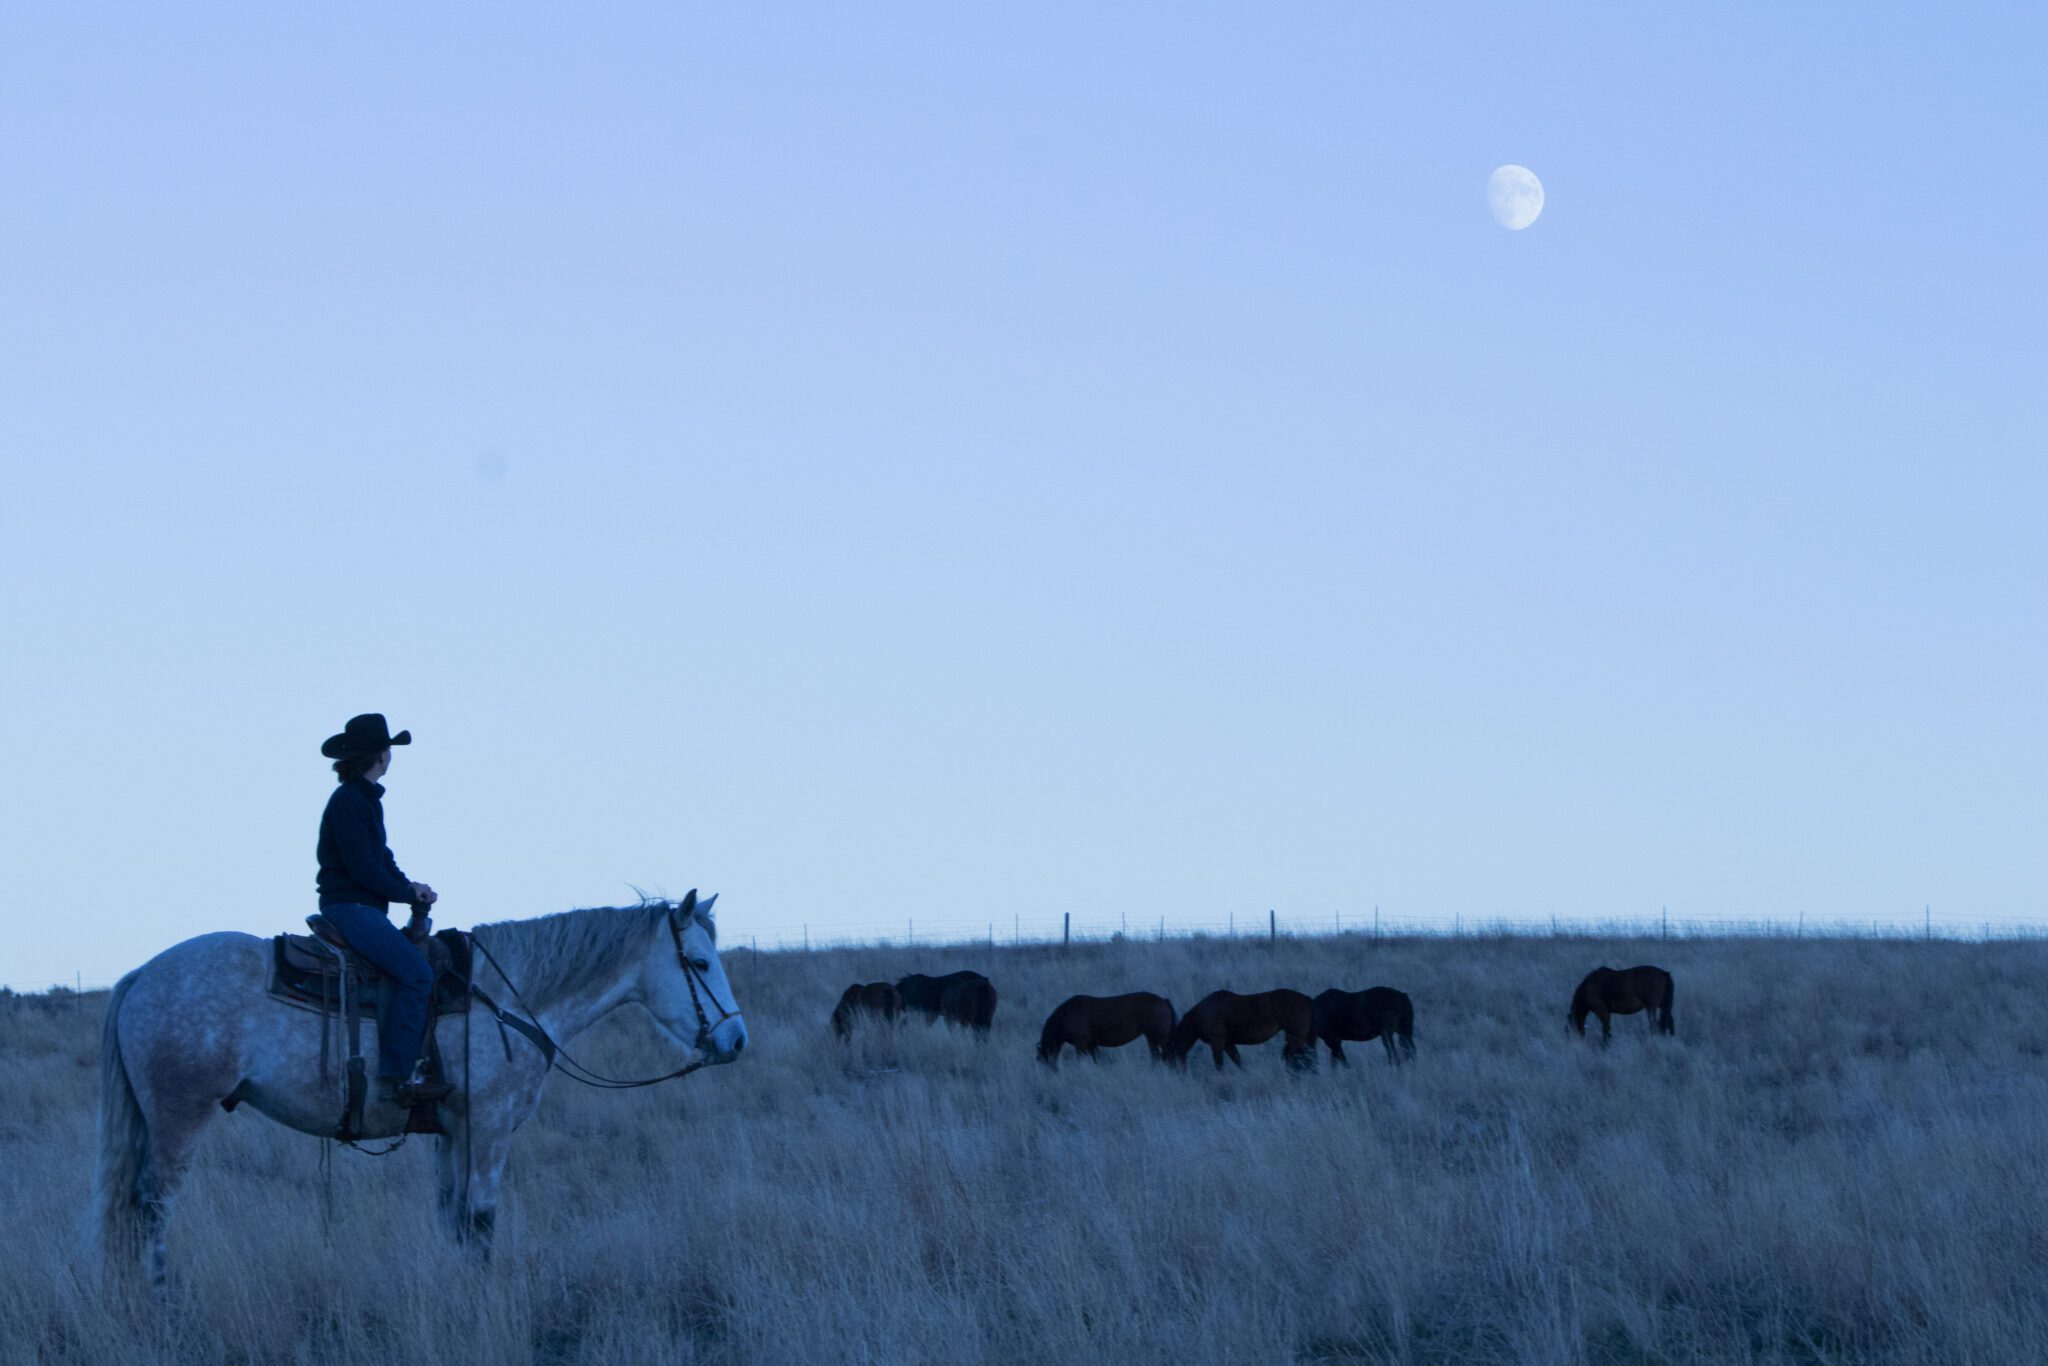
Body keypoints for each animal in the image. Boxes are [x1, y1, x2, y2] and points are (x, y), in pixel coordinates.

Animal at [93, 891, 747, 1291]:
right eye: (699, 962)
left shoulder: (451, 1132)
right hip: (180, 1117)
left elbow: (451, 1219)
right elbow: (480, 1223)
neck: (505, 1001)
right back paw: (163, 1303)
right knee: (151, 1207)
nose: (736, 1040)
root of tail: (141, 976)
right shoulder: (488, 1128)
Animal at [1036, 992, 1175, 1068]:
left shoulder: (1081, 1045)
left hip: (1160, 1037)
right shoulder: (1091, 1045)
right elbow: (1097, 1061)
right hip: (1151, 1037)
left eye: (1044, 1058)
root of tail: (1163, 1000)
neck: (1065, 1015)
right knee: (1155, 1056)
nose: (1052, 1072)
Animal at [1166, 989, 1316, 1071]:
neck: (1202, 1015)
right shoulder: (1228, 1044)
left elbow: (1219, 1065)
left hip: (1297, 1037)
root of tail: (1306, 998)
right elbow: (1238, 1062)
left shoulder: (1217, 1043)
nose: (1177, 1070)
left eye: (1173, 1046)